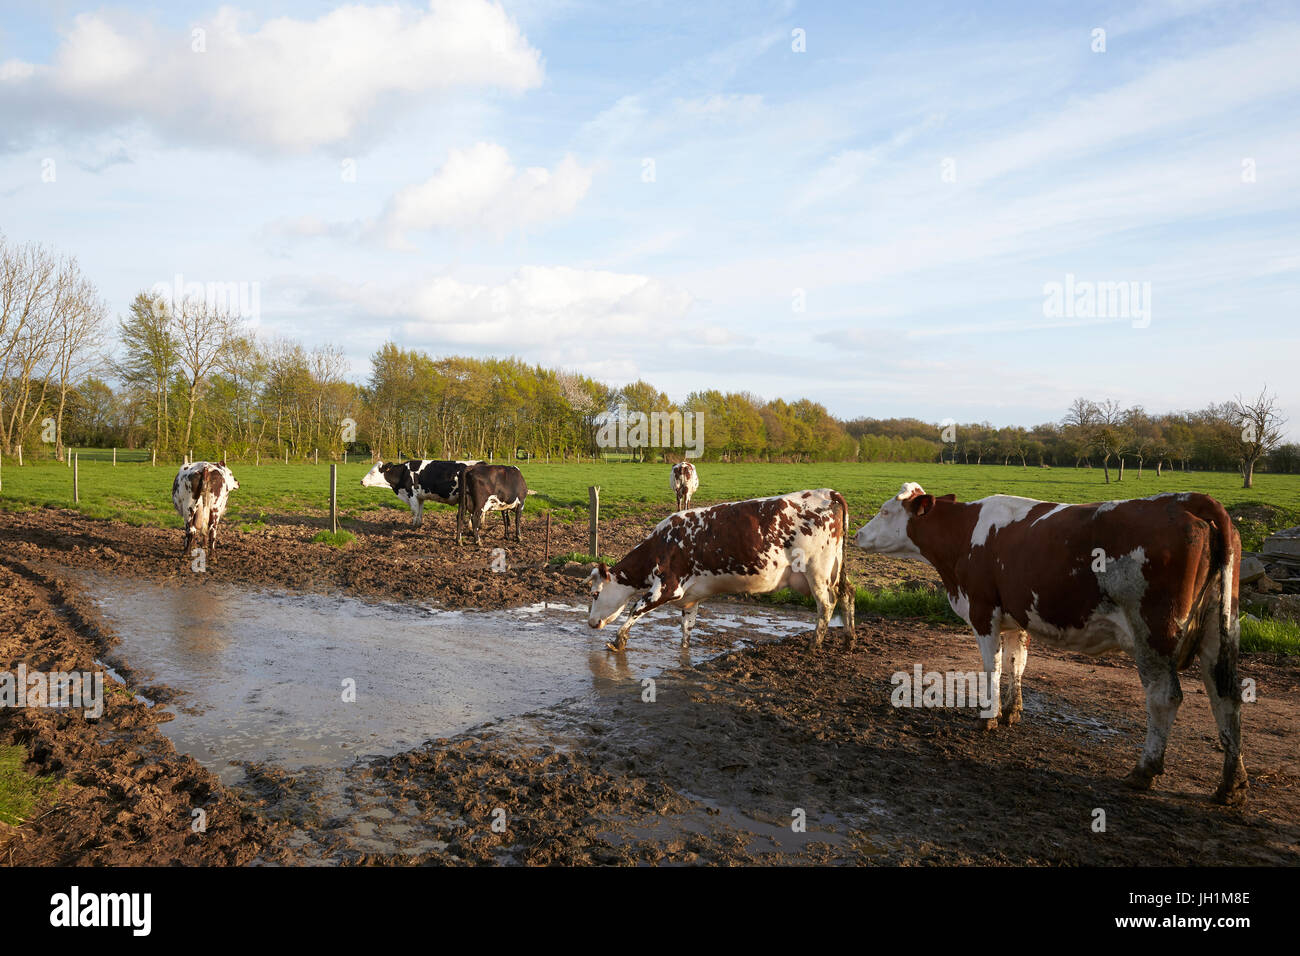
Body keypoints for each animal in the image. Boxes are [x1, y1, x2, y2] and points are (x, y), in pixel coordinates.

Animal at [587, 489, 855, 653]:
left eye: (595, 594)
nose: (590, 623)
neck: (664, 542)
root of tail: (828, 493)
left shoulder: (668, 587)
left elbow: (636, 608)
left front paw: (618, 641)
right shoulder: (689, 598)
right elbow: (686, 628)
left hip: (817, 570)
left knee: (826, 604)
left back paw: (814, 644)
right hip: (835, 569)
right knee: (847, 594)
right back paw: (849, 640)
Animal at [853, 482, 1247, 805]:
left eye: (885, 511)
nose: (856, 534)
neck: (965, 536)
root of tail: (1188, 500)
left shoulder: (983, 610)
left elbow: (992, 667)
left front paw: (988, 717)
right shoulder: (1016, 615)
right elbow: (1017, 662)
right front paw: (1011, 711)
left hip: (1153, 631)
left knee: (1165, 697)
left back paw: (1144, 770)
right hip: (1218, 627)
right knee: (1224, 694)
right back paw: (1231, 784)